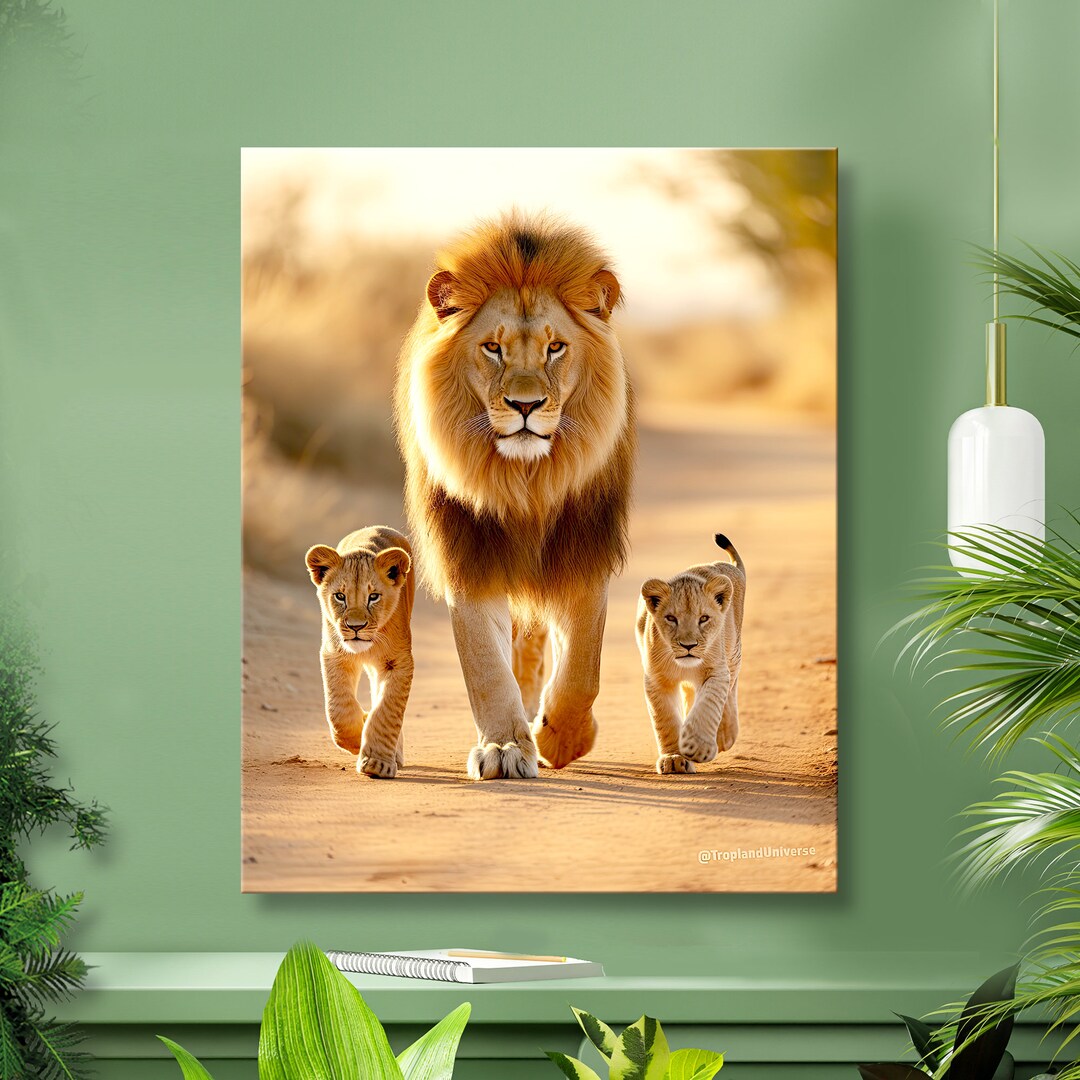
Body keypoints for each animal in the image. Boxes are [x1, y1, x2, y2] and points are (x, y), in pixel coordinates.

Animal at [304, 527, 414, 779]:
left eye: (373, 597)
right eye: (340, 596)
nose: (356, 627)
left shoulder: (399, 661)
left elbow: (387, 710)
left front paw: (377, 763)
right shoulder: (335, 653)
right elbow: (339, 709)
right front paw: (359, 733)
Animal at [394, 212, 635, 780]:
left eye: (555, 347)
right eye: (493, 347)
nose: (526, 406)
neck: (525, 482)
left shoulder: (583, 548)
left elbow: (583, 665)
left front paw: (563, 739)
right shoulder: (469, 552)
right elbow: (486, 664)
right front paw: (505, 744)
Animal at [636, 534, 746, 775]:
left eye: (703, 619)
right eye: (671, 618)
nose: (689, 646)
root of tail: (730, 567)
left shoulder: (717, 671)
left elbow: (709, 704)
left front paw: (697, 747)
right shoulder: (657, 679)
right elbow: (665, 719)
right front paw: (674, 758)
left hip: (733, 654)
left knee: (731, 689)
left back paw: (724, 736)